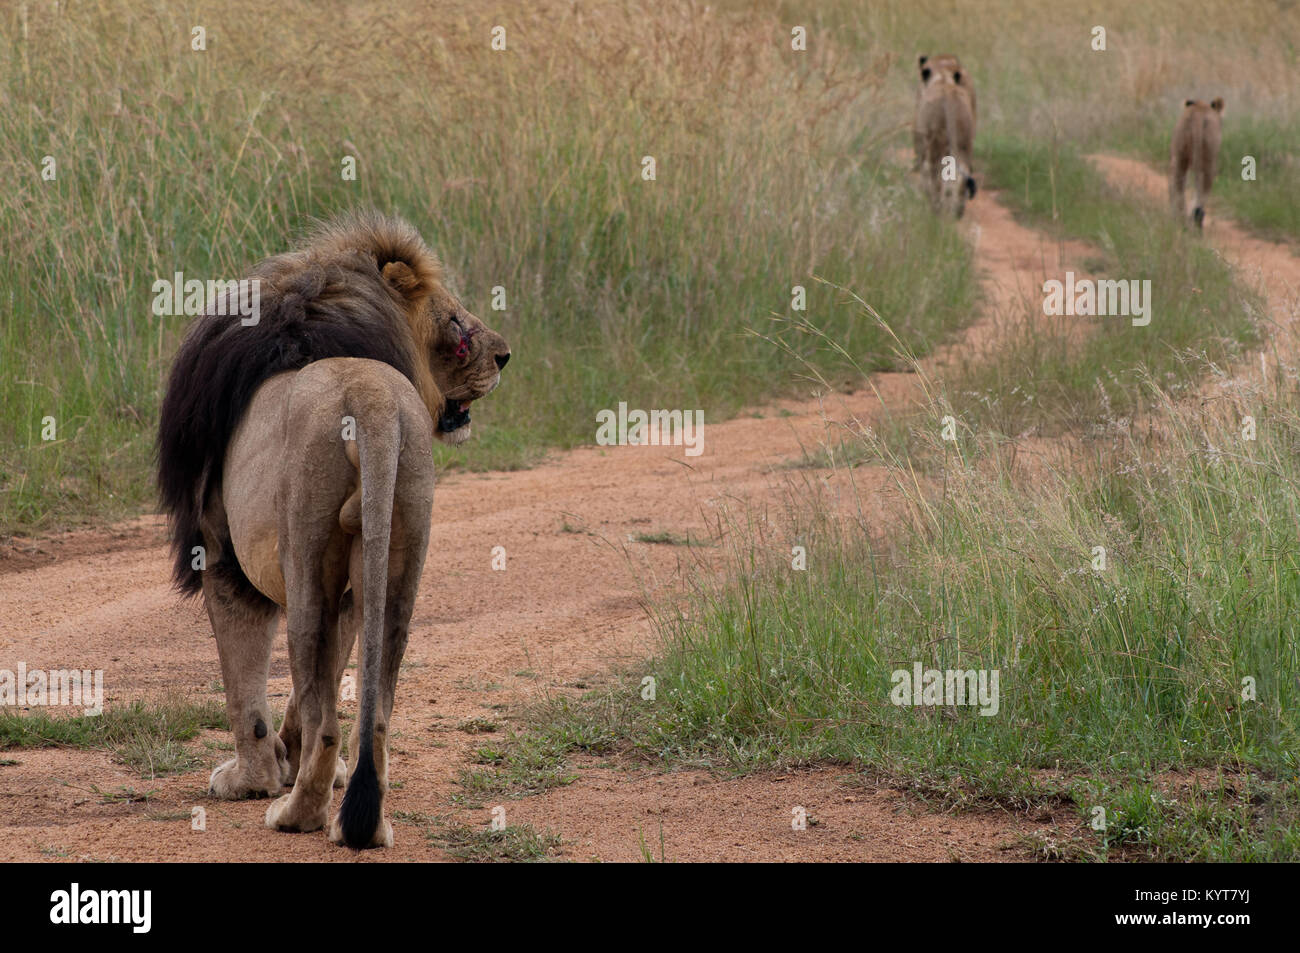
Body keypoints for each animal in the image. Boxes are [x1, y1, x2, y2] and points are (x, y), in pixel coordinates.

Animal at [156, 212, 510, 848]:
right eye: (453, 321)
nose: (505, 356)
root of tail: (369, 398)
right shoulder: (344, 586)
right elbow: (311, 688)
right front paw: (290, 760)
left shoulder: (219, 557)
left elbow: (245, 687)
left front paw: (252, 778)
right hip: (398, 553)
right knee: (374, 711)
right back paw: (362, 819)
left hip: (304, 559)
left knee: (323, 713)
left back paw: (297, 813)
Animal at [916, 66, 977, 218]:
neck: (943, 79)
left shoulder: (921, 140)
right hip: (964, 143)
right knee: (962, 175)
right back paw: (957, 211)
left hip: (936, 143)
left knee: (936, 176)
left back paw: (934, 207)